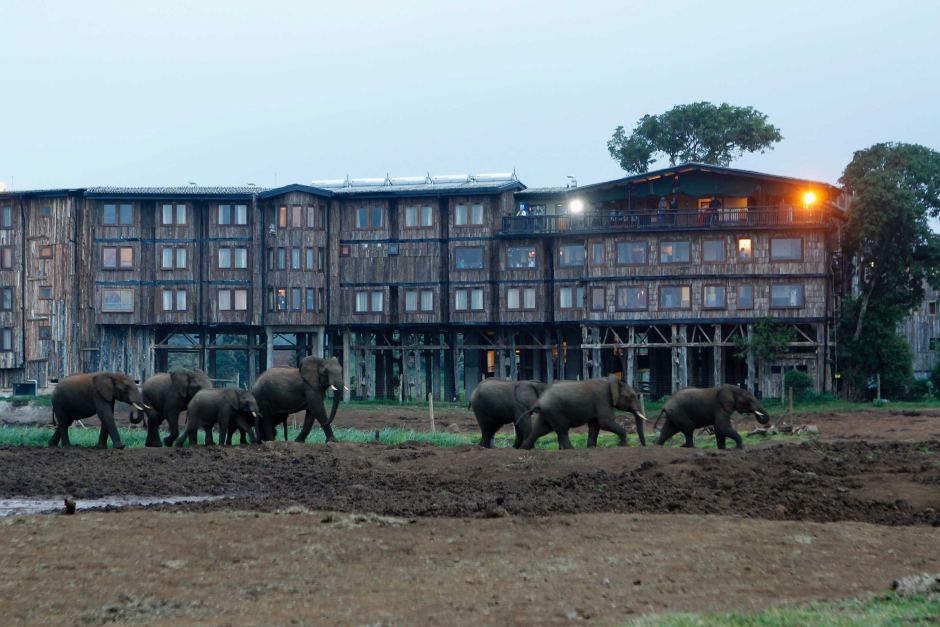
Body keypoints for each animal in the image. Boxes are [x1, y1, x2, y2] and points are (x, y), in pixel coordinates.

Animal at [520, 372, 648, 452]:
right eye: (632, 396)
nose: (644, 446)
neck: (611, 381)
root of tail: (539, 400)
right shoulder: (602, 399)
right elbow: (605, 422)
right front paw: (623, 446)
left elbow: (595, 426)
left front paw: (591, 448)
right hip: (555, 411)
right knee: (562, 430)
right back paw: (571, 450)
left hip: (547, 412)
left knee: (540, 430)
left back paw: (524, 449)